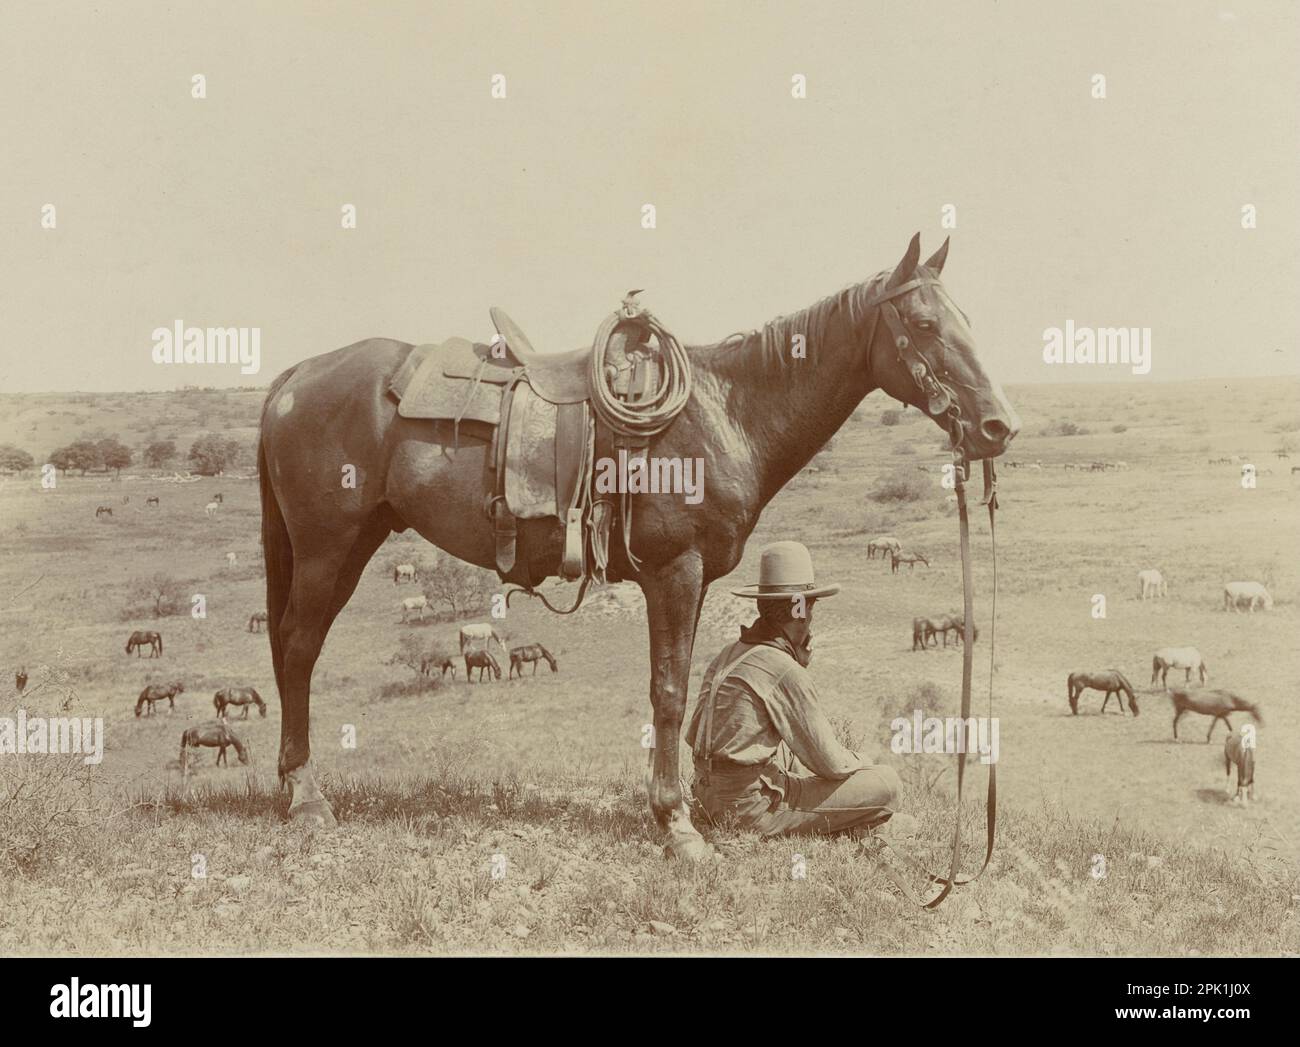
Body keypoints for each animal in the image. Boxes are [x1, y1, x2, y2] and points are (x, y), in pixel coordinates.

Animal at [255, 233, 1018, 855]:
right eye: (924, 323)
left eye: (969, 321)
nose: (996, 426)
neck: (725, 410)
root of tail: (295, 377)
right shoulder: (674, 572)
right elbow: (669, 692)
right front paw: (676, 824)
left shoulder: (696, 577)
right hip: (327, 549)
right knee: (297, 648)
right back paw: (307, 798)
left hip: (352, 545)